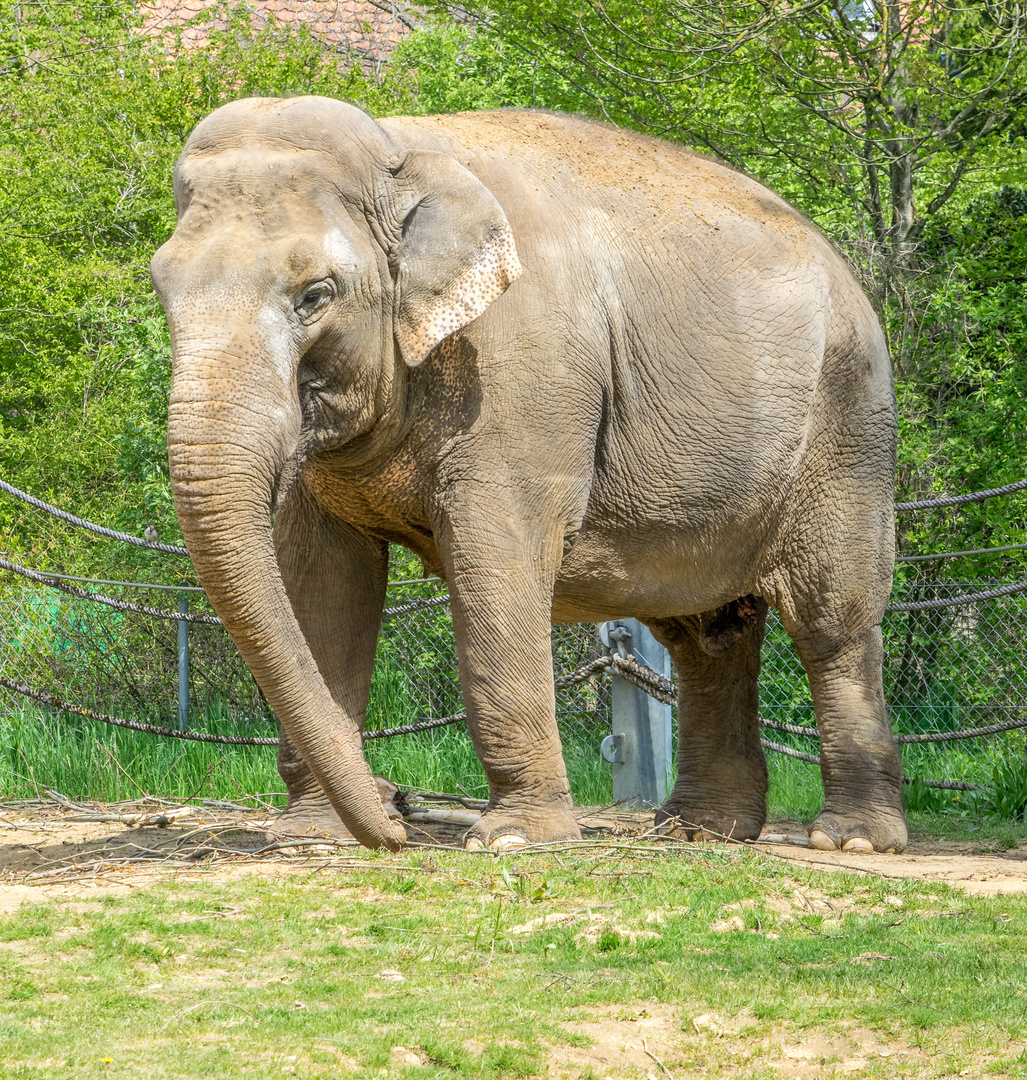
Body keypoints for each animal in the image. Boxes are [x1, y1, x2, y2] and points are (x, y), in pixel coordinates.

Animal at [150, 95, 906, 855]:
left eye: (315, 294)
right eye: (161, 289)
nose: (397, 823)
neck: (400, 150)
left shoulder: (521, 378)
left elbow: (496, 559)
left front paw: (514, 838)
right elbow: (322, 581)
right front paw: (314, 837)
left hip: (846, 428)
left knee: (831, 622)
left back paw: (850, 840)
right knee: (706, 633)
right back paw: (700, 830)